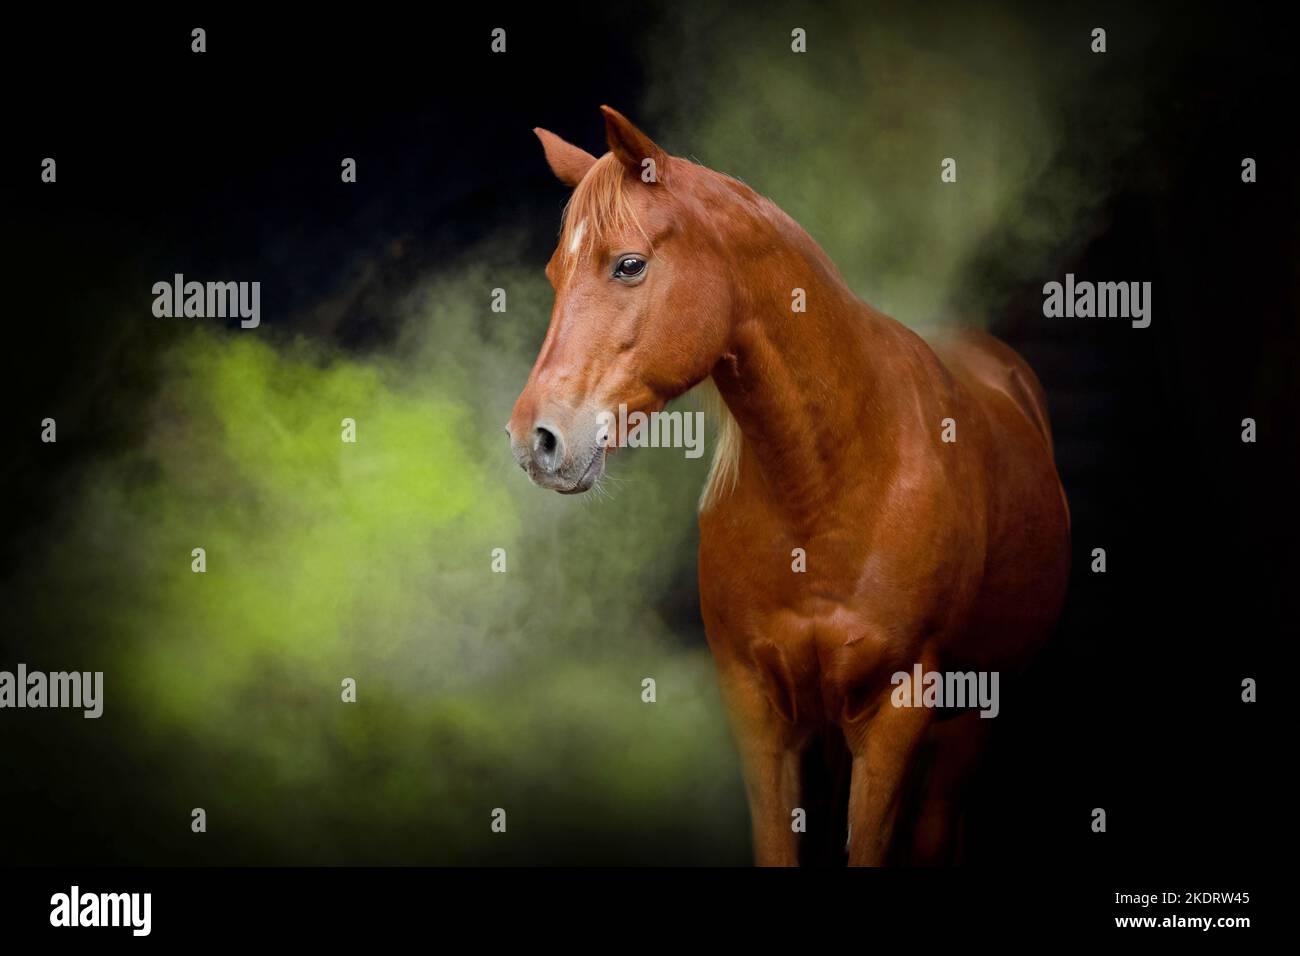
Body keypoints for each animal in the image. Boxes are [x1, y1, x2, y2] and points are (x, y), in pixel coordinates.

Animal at [508, 106, 1071, 866]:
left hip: (974, 714)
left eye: (629, 264)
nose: (535, 440)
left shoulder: (897, 712)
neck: (830, 489)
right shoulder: (758, 708)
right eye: (554, 273)